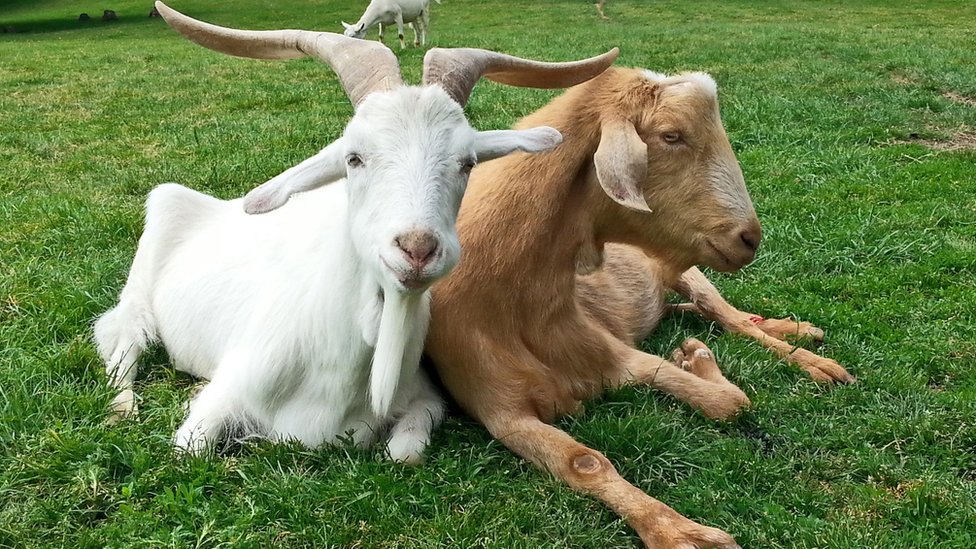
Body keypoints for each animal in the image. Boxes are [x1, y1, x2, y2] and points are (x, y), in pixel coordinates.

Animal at [93, 1, 618, 461]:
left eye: (468, 162)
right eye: (354, 157)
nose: (417, 249)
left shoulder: (423, 398)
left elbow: (405, 454)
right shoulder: (224, 393)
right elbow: (190, 451)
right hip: (146, 270)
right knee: (122, 341)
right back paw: (122, 406)